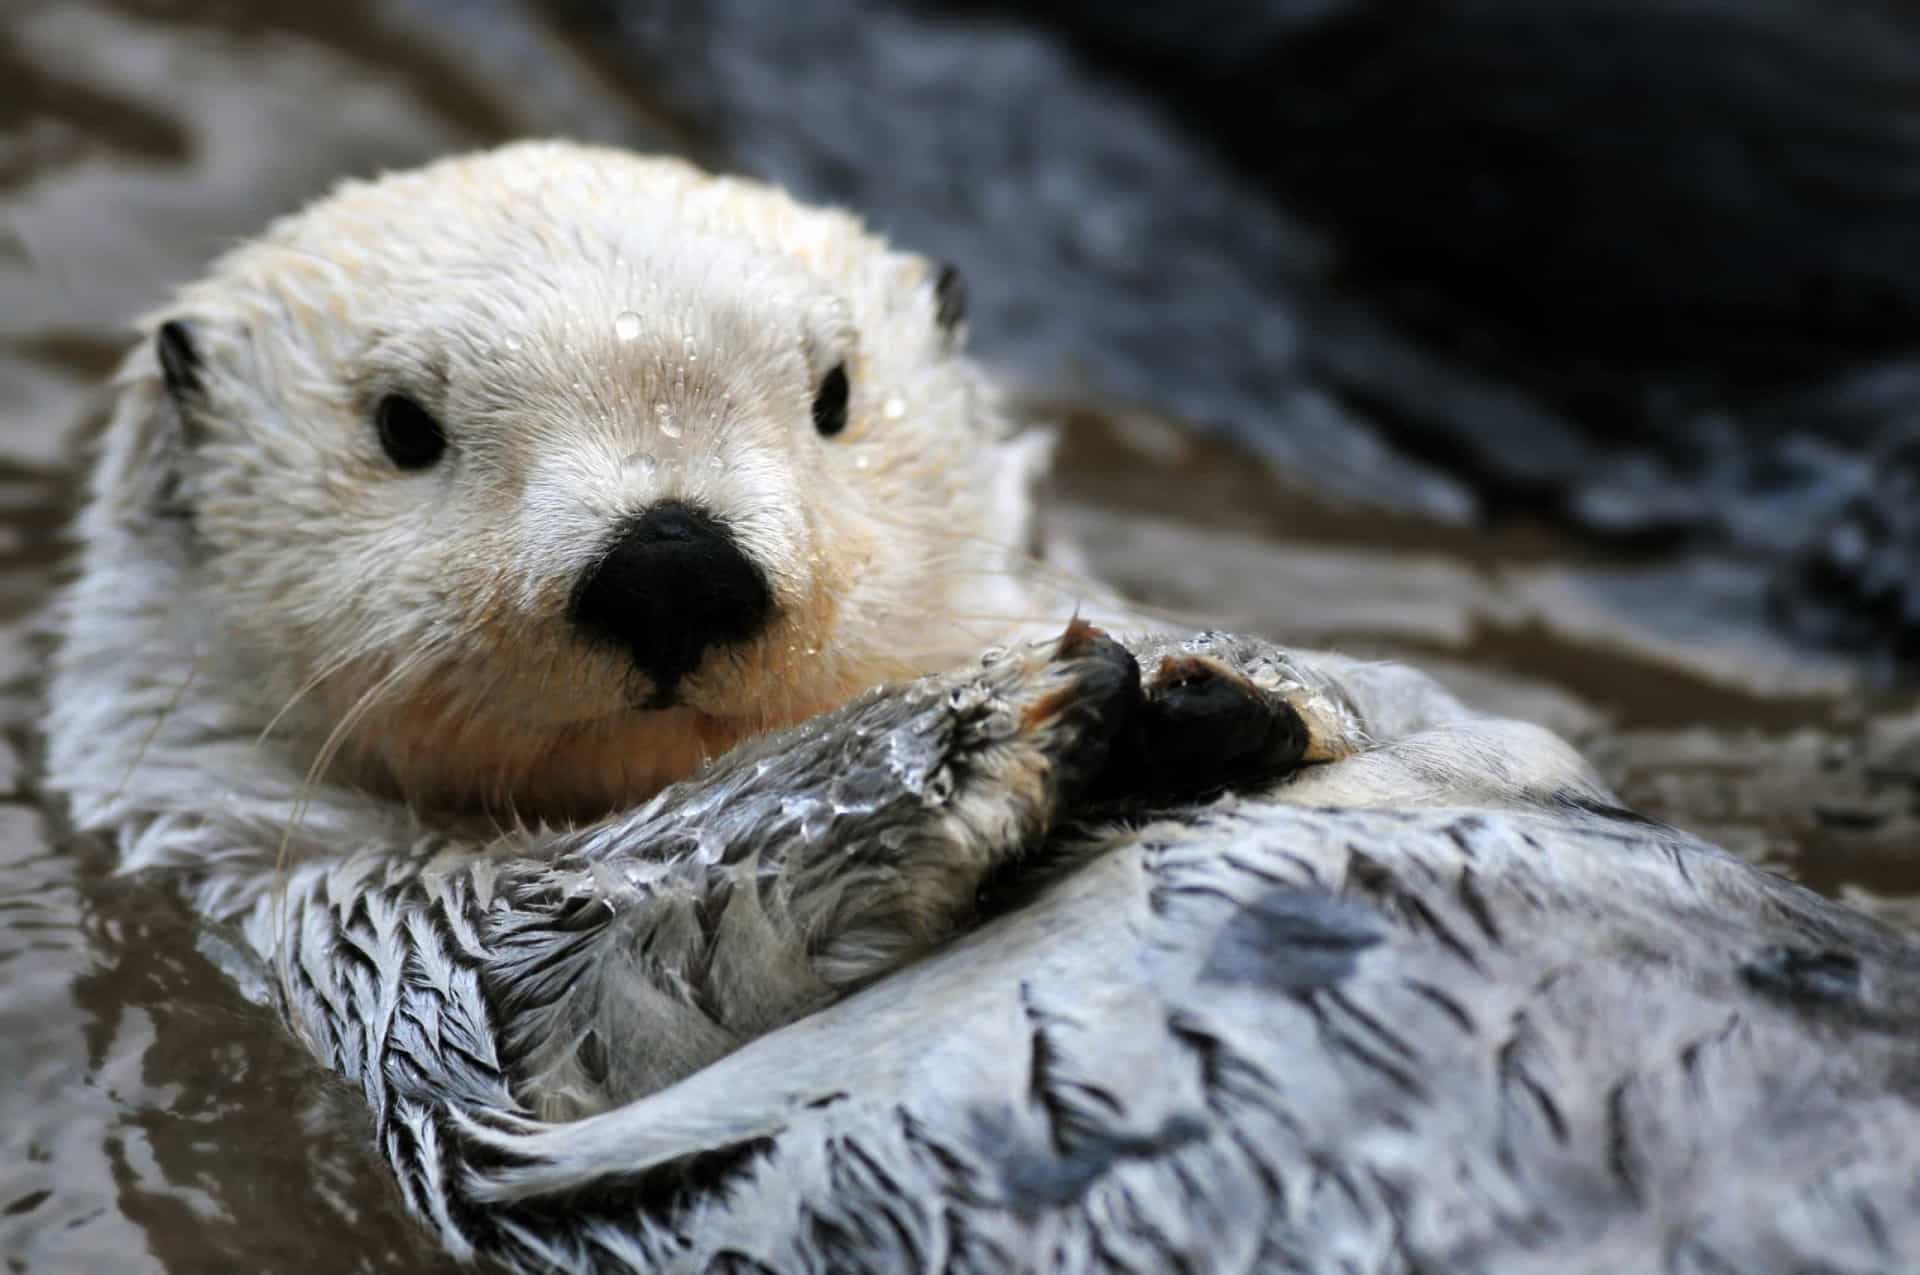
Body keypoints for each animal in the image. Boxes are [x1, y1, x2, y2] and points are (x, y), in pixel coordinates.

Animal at [43, 142, 1920, 1271]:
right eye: (405, 428)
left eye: (833, 393)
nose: (672, 562)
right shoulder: (366, 936)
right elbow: (566, 963)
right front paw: (984, 731)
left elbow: (1468, 731)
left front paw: (1224, 689)